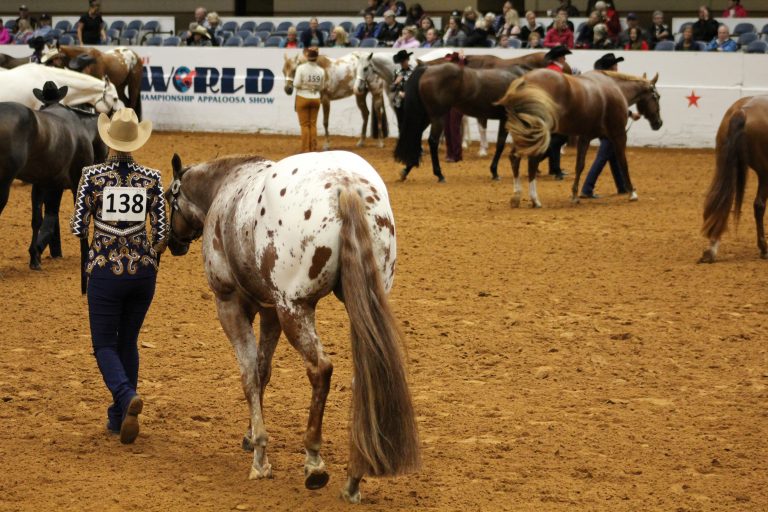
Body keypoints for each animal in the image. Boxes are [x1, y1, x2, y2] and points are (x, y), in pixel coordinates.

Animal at [165, 151, 419, 504]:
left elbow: (249, 375)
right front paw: (251, 436)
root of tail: (345, 186)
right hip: (355, 301)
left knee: (320, 369)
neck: (227, 188)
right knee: (363, 376)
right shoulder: (270, 311)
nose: (172, 243)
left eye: (167, 197)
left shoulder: (231, 305)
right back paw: (354, 476)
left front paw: (260, 455)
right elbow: (262, 372)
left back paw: (314, 460)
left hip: (295, 308)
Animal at [495, 70, 662, 207]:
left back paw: (516, 197)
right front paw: (632, 192)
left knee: (515, 158)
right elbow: (623, 162)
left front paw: (575, 195)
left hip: (526, 133)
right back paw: (535, 199)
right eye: (657, 97)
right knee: (531, 161)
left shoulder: (585, 137)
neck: (616, 89)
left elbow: (580, 165)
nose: (659, 123)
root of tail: (523, 81)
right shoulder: (619, 134)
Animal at [700, 96, 768, 263]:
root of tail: (742, 111)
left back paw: (711, 250)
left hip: (723, 164)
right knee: (759, 205)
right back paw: (764, 248)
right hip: (765, 173)